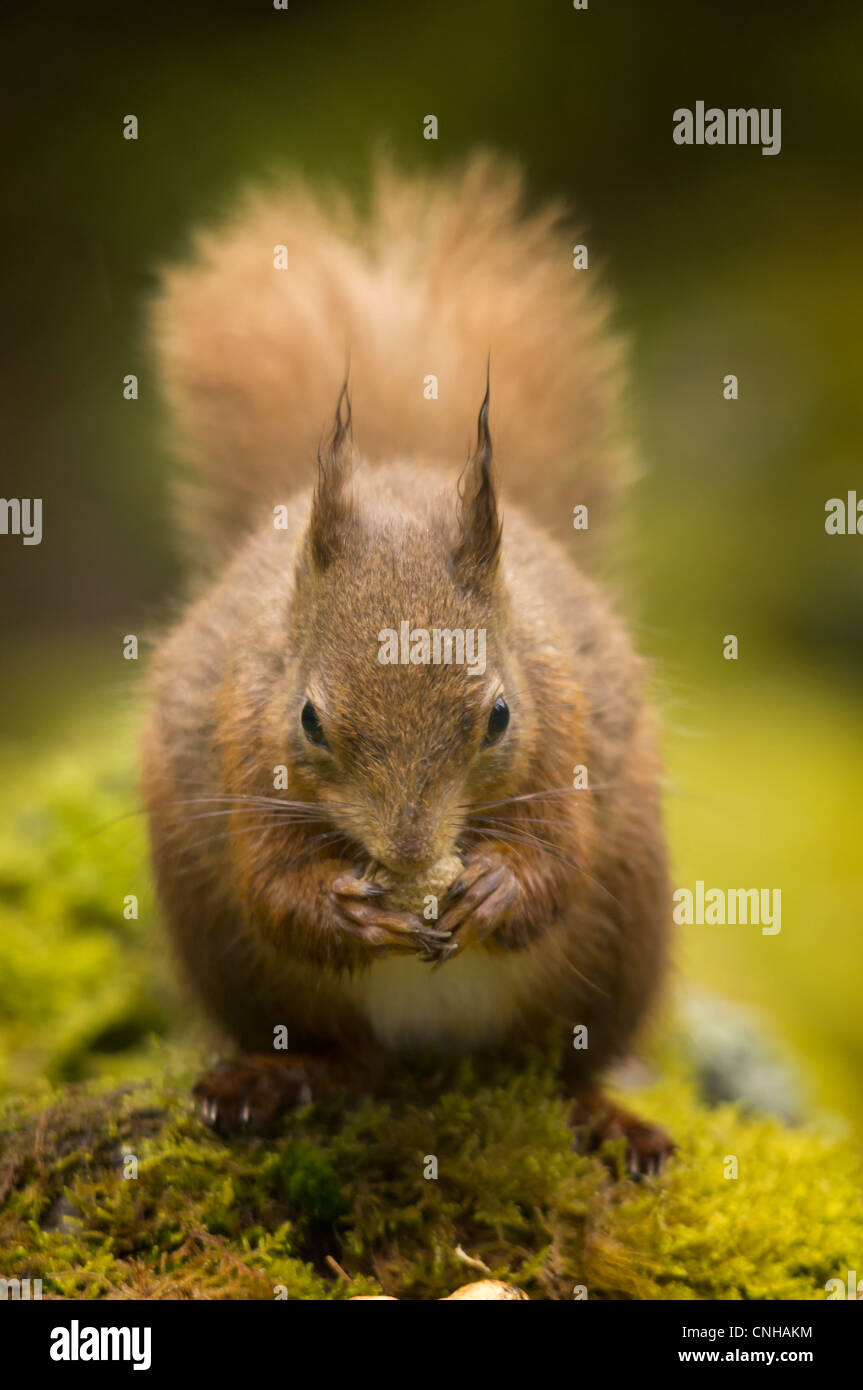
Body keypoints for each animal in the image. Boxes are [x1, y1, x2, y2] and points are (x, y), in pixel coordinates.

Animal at [142, 156, 673, 1173]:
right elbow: (273, 888)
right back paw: (273, 1081)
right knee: (340, 1051)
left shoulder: (565, 726)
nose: (411, 855)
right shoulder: (242, 742)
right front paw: (348, 911)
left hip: (620, 943)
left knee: (558, 1062)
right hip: (225, 952)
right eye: (310, 719)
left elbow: (558, 863)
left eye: (499, 716)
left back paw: (602, 1118)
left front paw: (497, 886)